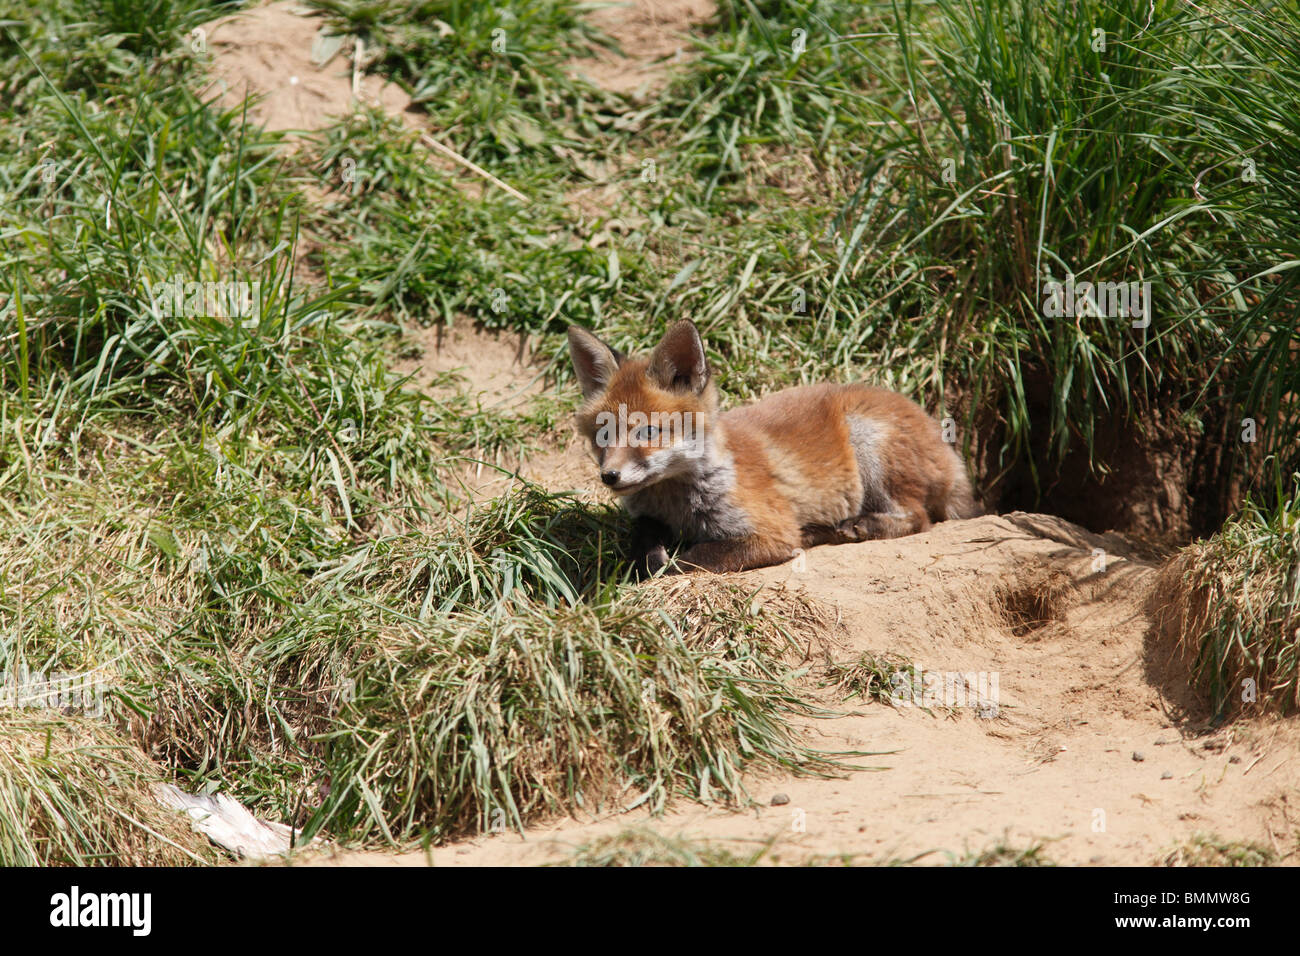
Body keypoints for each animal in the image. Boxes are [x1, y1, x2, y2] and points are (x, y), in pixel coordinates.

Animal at [568, 320, 979, 575]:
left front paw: (671, 564)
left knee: (920, 519)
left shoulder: (769, 532)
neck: (677, 502)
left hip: (867, 442)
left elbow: (692, 560)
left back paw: (851, 527)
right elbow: (644, 546)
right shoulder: (647, 518)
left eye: (649, 431)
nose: (609, 476)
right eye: (603, 435)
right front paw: (651, 557)